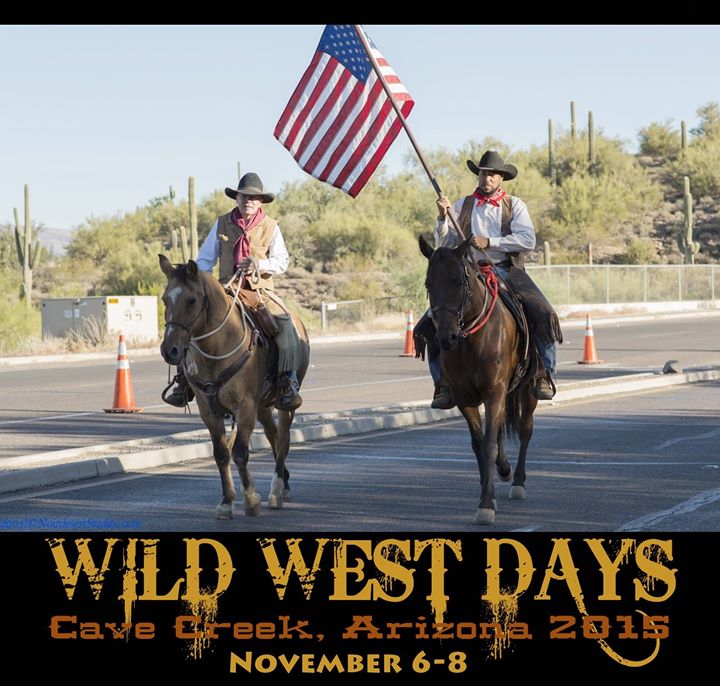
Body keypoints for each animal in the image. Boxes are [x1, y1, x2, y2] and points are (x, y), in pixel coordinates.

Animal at [160, 255, 310, 520]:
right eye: (165, 299)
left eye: (191, 300)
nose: (169, 350)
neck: (217, 348)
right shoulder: (209, 411)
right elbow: (221, 454)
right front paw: (226, 502)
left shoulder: (245, 407)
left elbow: (240, 452)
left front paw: (250, 500)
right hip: (263, 404)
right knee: (272, 435)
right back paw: (285, 483)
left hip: (284, 404)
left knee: (283, 439)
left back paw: (276, 491)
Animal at [420, 236, 536, 528]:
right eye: (429, 284)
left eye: (459, 282)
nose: (446, 337)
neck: (471, 340)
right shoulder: (465, 398)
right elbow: (479, 444)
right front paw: (487, 495)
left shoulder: (494, 392)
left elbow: (489, 445)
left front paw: (486, 505)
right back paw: (504, 469)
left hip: (528, 389)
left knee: (526, 429)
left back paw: (518, 482)